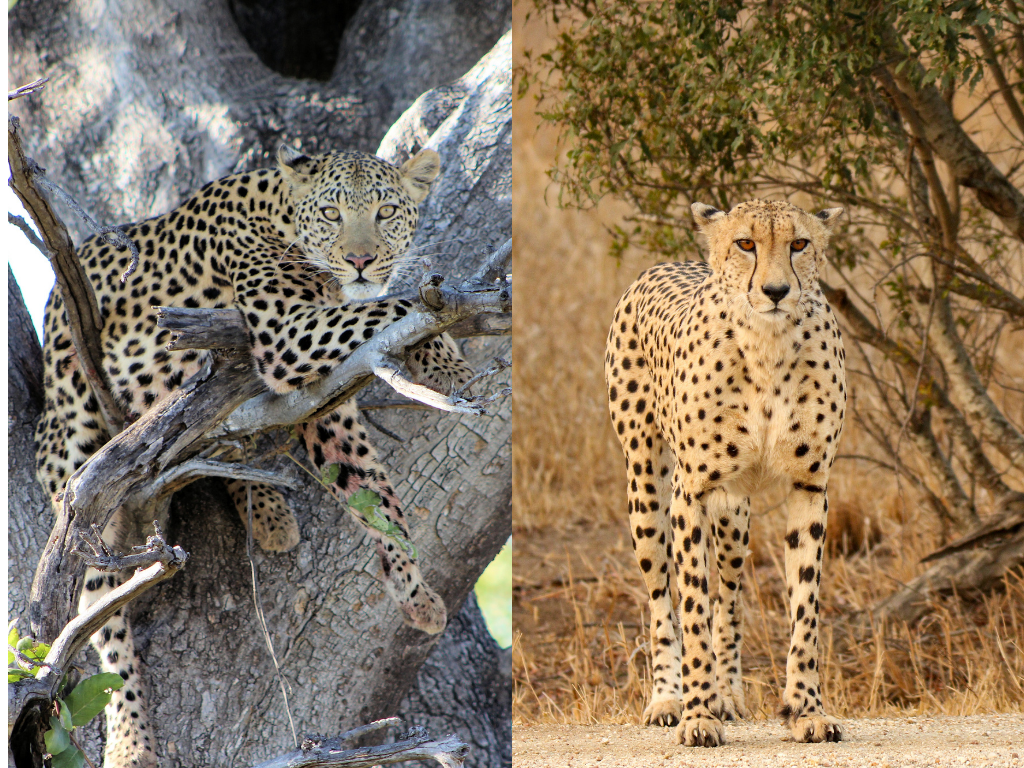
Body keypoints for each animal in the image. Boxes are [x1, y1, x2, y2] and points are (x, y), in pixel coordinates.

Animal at [34, 144, 474, 767]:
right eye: (334, 214)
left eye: (386, 211)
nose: (361, 261)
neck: (284, 216)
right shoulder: (288, 334)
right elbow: (395, 304)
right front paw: (447, 352)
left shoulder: (323, 397)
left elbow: (372, 488)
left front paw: (414, 591)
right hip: (75, 466)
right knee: (102, 619)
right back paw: (130, 740)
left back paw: (266, 510)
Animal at [605, 199, 847, 747]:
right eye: (745, 243)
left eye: (799, 244)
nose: (776, 291)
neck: (767, 345)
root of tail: (664, 264)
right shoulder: (691, 491)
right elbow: (691, 605)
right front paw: (697, 715)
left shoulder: (809, 486)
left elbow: (803, 608)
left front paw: (806, 710)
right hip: (645, 486)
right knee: (661, 599)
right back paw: (669, 699)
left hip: (735, 515)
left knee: (730, 598)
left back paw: (728, 694)